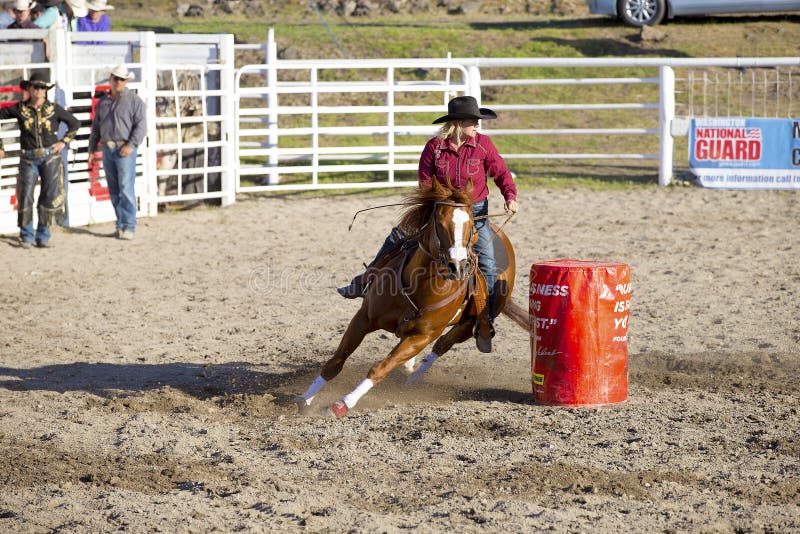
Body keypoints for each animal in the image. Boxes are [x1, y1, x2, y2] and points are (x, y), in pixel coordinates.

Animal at [294, 178, 528, 417]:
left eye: (471, 224)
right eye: (440, 223)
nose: (457, 267)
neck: (420, 284)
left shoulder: (420, 337)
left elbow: (380, 368)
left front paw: (343, 403)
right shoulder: (363, 318)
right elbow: (336, 361)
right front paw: (305, 399)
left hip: (469, 323)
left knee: (443, 344)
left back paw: (414, 378)